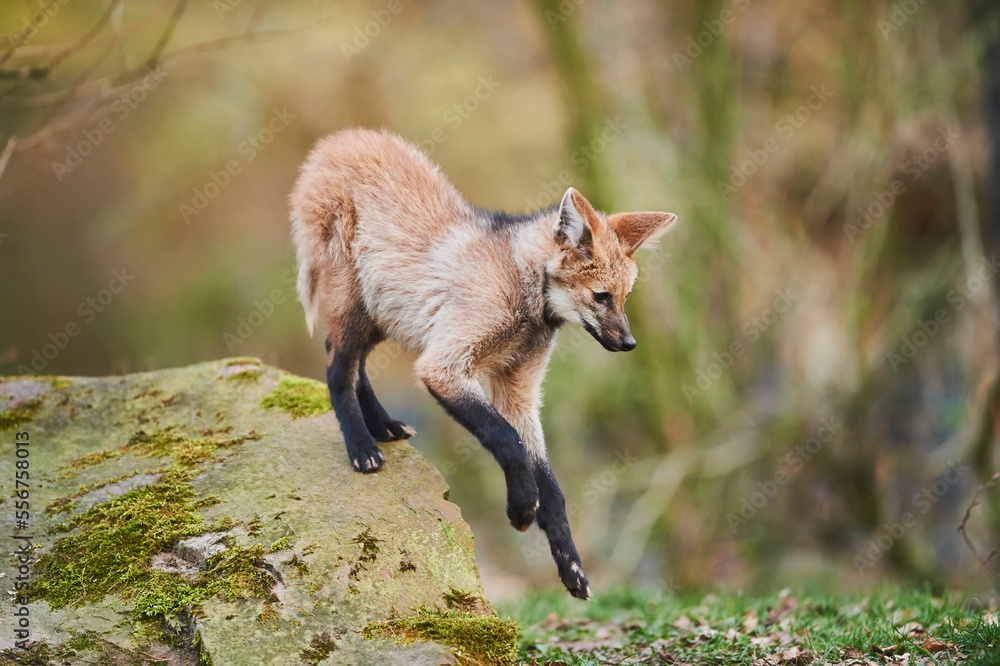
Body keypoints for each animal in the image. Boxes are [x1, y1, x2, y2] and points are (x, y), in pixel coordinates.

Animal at [290, 128, 675, 598]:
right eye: (601, 296)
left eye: (625, 298)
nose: (630, 343)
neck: (528, 300)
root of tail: (339, 139)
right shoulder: (443, 366)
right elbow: (509, 441)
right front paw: (521, 508)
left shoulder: (518, 393)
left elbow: (552, 485)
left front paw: (570, 565)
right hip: (359, 303)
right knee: (335, 366)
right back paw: (362, 446)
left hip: (385, 313)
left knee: (352, 361)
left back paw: (382, 426)